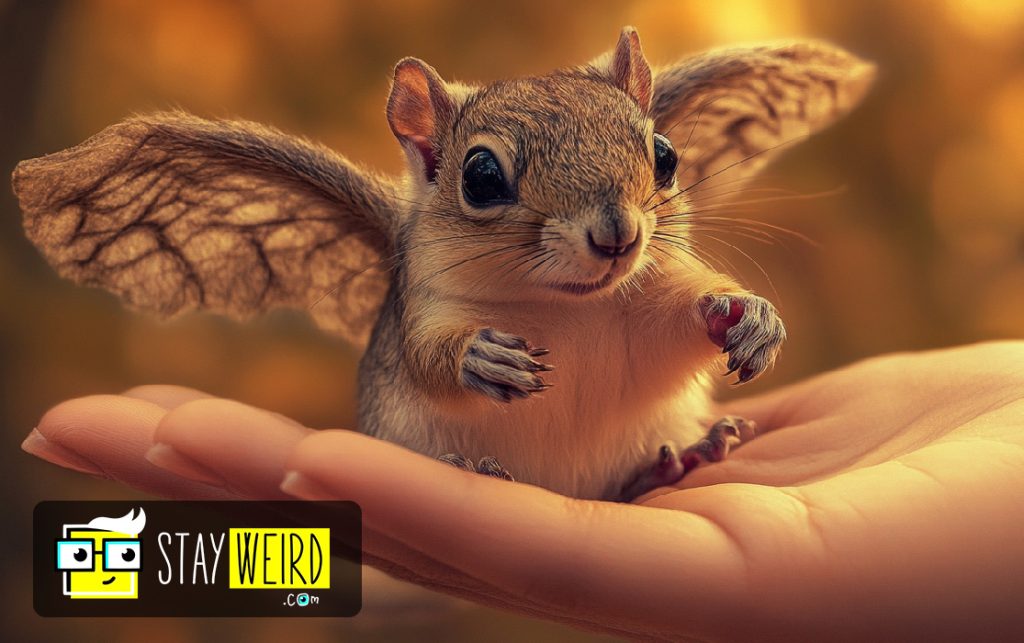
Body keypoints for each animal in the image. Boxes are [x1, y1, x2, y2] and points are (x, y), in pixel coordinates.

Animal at [12, 27, 873, 501]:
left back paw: (680, 458)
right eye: (482, 177)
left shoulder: (647, 294)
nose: (618, 236)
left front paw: (750, 316)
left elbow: (685, 316)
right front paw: (480, 357)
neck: (568, 304)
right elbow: (430, 355)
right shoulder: (420, 308)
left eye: (664, 155)